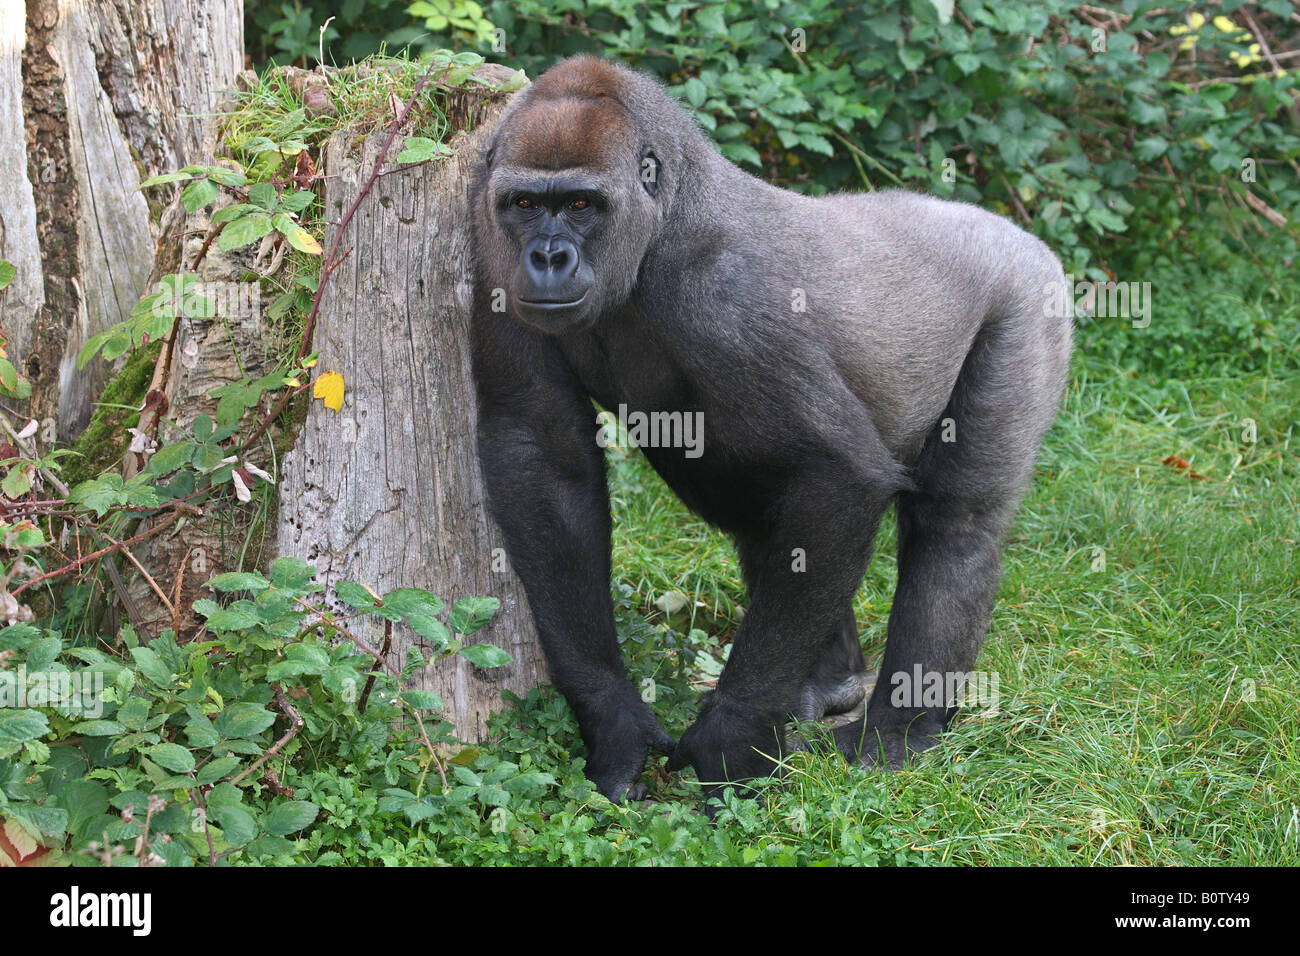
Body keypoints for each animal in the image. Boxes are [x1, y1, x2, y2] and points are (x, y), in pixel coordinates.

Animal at [469, 55, 1072, 804]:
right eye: (526, 205)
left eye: (582, 205)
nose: (547, 257)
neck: (665, 218)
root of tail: (1011, 232)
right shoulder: (487, 232)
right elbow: (542, 450)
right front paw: (612, 716)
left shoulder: (727, 291)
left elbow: (840, 475)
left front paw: (729, 736)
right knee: (753, 504)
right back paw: (831, 680)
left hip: (1027, 297)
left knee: (955, 526)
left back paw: (899, 729)